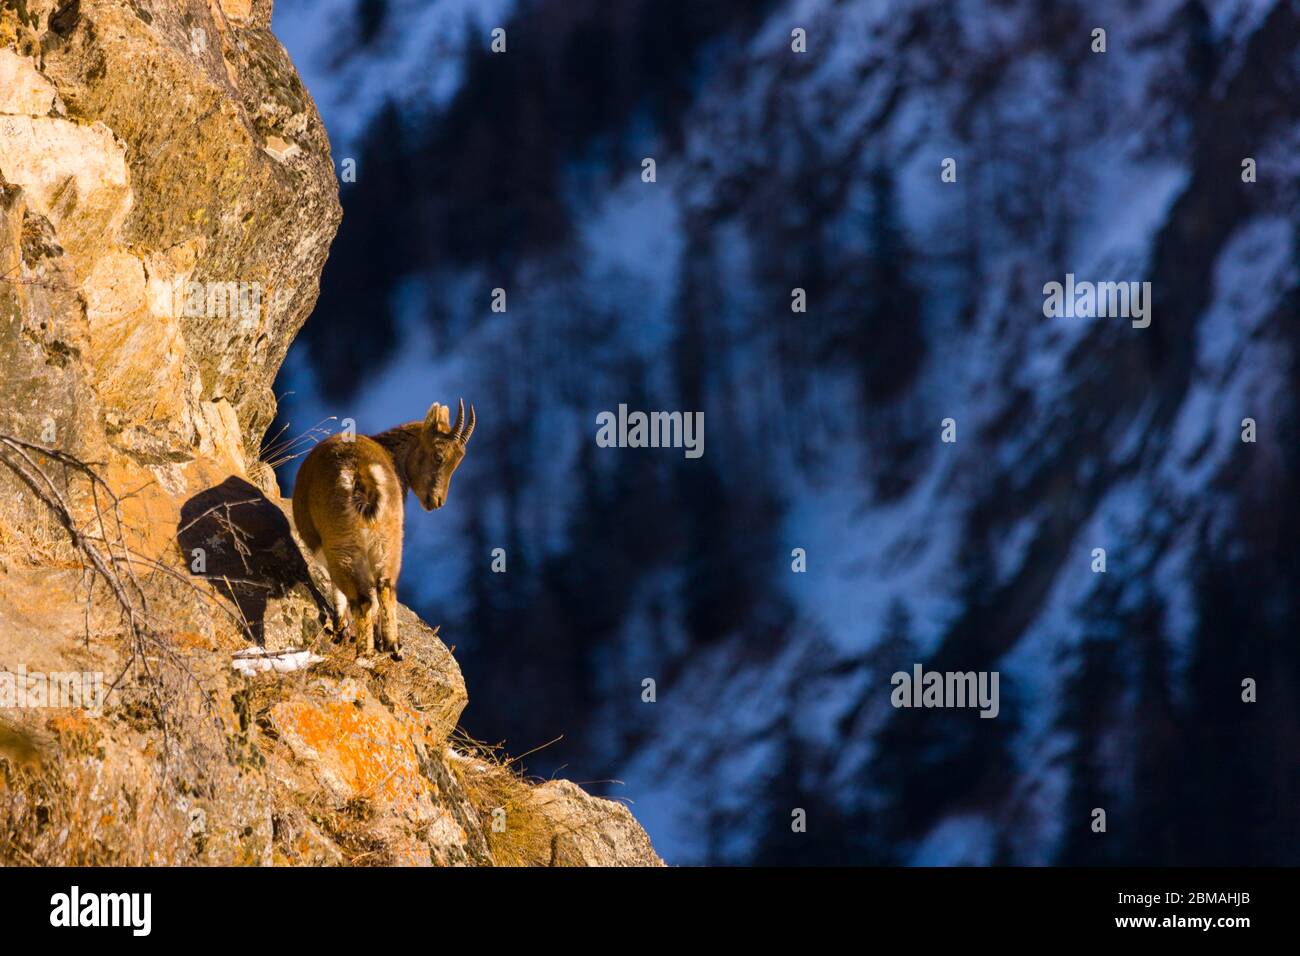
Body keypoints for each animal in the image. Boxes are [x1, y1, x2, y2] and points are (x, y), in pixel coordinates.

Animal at [292, 399, 475, 657]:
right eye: (439, 457)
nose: (437, 501)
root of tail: (363, 477)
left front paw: (341, 627)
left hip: (343, 543)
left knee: (362, 597)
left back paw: (365, 651)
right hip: (390, 538)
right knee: (386, 585)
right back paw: (392, 645)